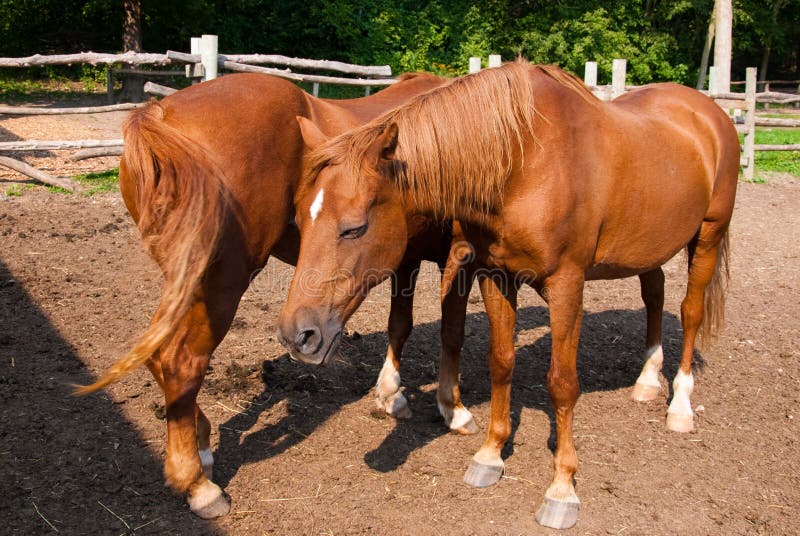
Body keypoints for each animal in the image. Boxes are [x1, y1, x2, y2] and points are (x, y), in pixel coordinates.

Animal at [74, 71, 484, 518]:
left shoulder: (403, 255)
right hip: (221, 284)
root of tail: (160, 116)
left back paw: (201, 445)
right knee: (180, 362)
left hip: (186, 281)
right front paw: (453, 409)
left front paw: (392, 395)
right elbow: (451, 334)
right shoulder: (461, 255)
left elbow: (401, 324)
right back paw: (197, 484)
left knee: (156, 354)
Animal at [276, 60, 739, 529]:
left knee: (690, 311)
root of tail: (709, 112)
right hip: (649, 246)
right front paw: (490, 455)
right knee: (655, 293)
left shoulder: (565, 284)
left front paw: (562, 488)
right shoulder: (495, 275)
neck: (526, 163)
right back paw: (647, 380)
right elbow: (500, 362)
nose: (297, 335)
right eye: (300, 219)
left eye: (354, 227)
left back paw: (679, 406)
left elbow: (561, 382)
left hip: (708, 235)